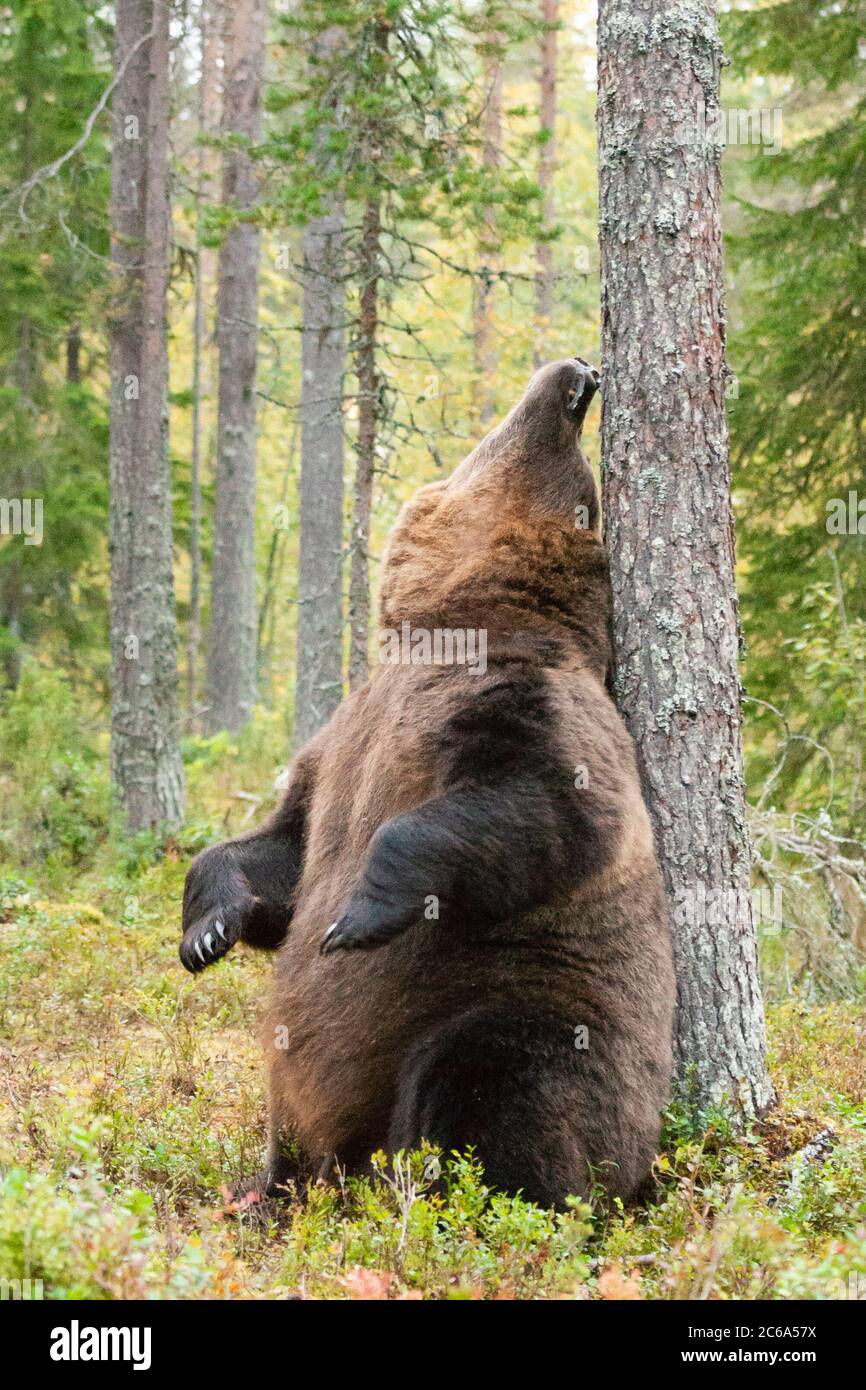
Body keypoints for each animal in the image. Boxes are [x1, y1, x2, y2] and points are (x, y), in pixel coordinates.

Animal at [180, 357, 675, 1210]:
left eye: (582, 494)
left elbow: (551, 807)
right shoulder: (339, 743)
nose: (580, 374)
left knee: (499, 1083)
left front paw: (356, 915)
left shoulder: (527, 704)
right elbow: (283, 848)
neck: (445, 621)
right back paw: (266, 1194)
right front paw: (207, 928)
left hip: (536, 1007)